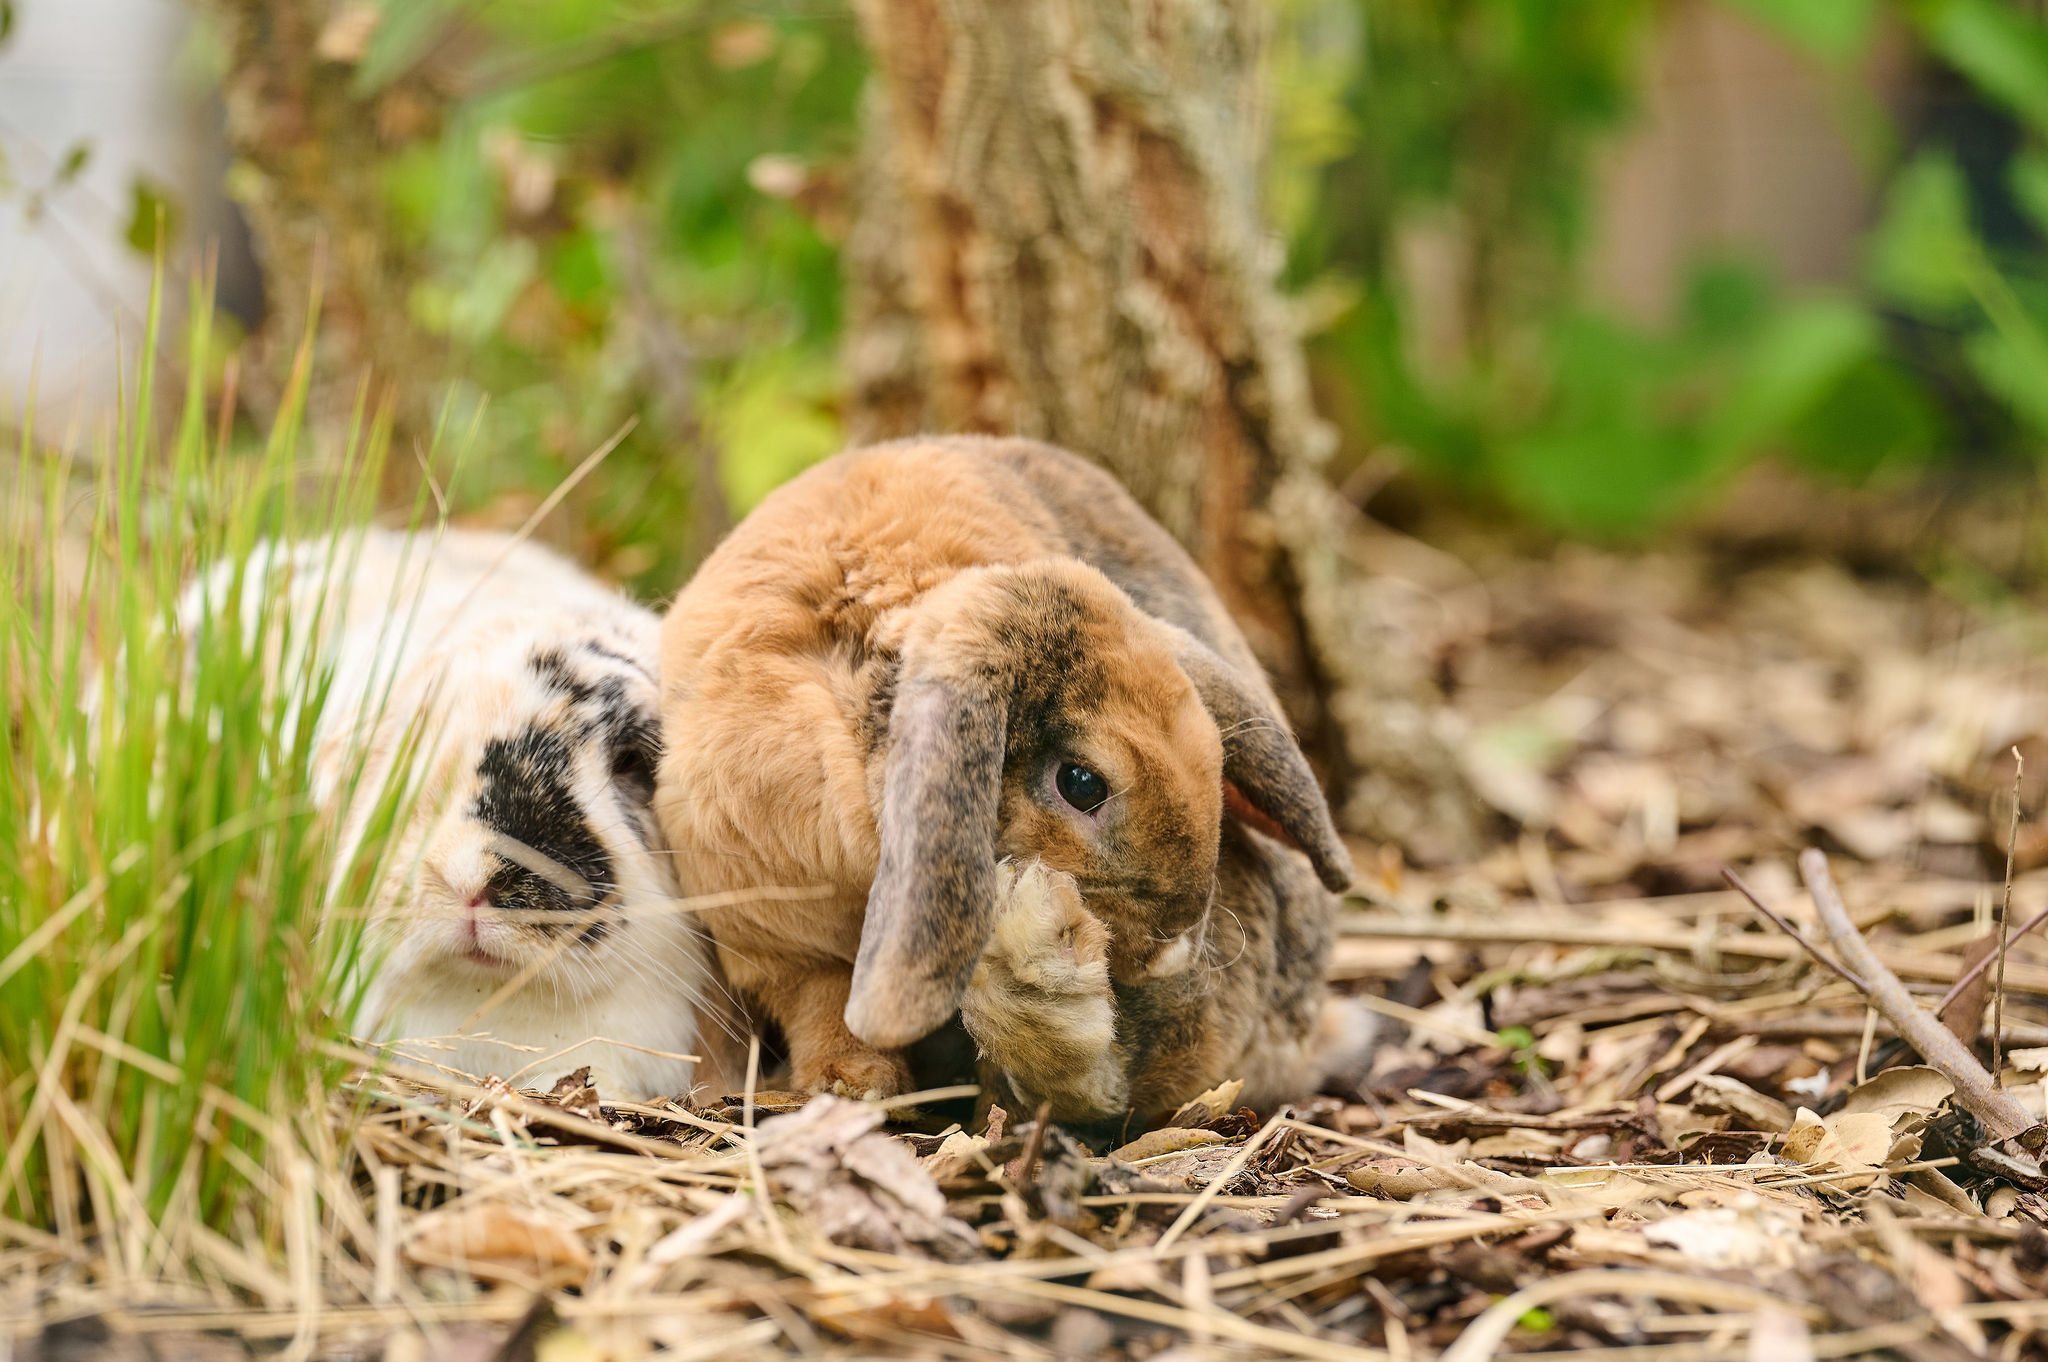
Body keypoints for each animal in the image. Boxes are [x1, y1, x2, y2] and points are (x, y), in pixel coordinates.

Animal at [656, 435, 1353, 1103]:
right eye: (1081, 784)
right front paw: (855, 1082)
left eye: (1215, 766)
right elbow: (823, 1006)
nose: (1172, 948)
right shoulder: (783, 944)